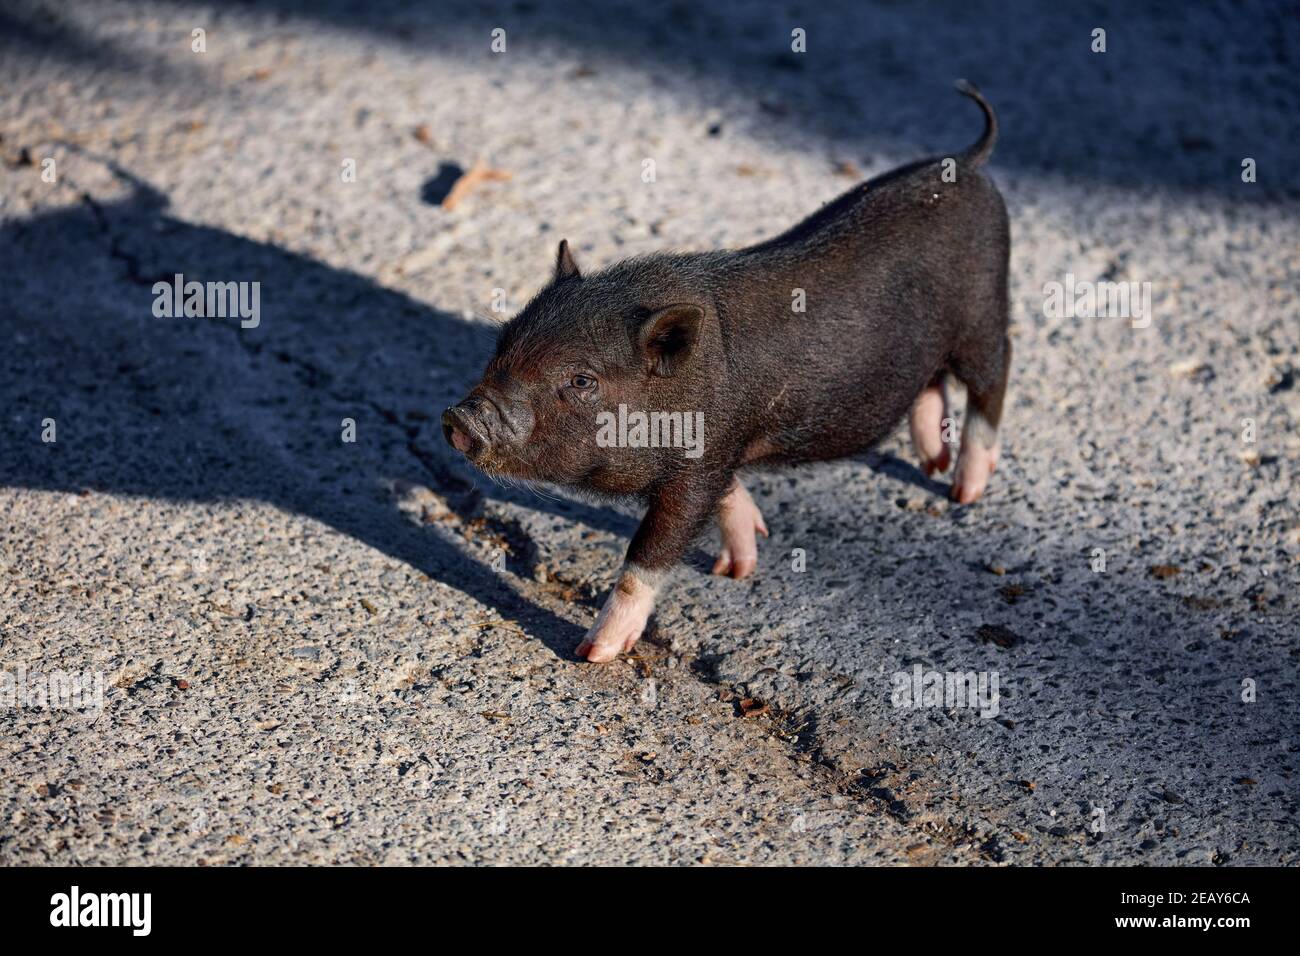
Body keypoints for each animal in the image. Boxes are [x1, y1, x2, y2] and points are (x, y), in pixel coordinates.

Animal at [443, 80, 1010, 663]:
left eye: (581, 381)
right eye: (503, 343)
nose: (461, 419)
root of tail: (969, 161)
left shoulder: (697, 467)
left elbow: (650, 552)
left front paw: (592, 652)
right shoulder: (719, 453)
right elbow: (727, 495)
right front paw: (736, 569)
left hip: (985, 313)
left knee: (993, 380)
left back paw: (963, 490)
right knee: (932, 382)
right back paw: (933, 463)